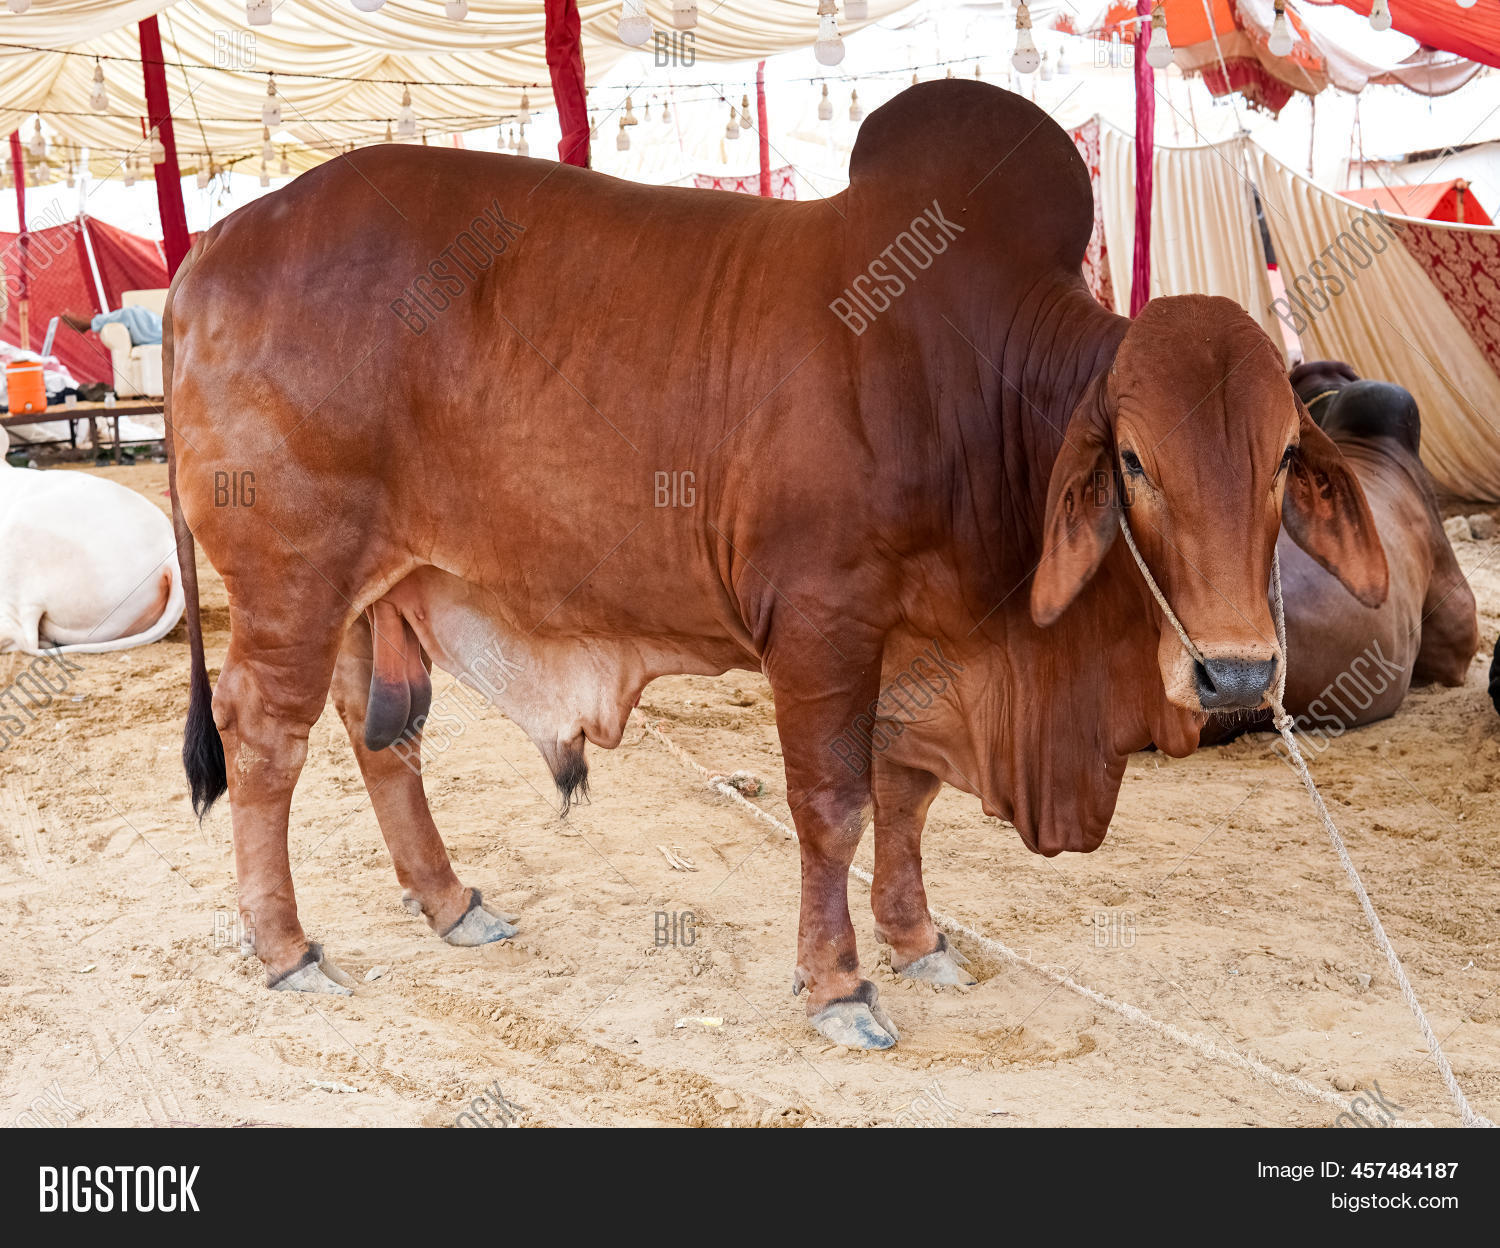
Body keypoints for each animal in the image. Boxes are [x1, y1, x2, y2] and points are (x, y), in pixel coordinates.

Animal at [167, 81, 1387, 1049]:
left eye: (1285, 456)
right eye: (1134, 460)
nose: (1237, 674)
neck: (975, 387)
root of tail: (210, 254)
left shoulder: (918, 637)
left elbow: (906, 795)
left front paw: (917, 937)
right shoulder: (822, 622)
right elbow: (835, 805)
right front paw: (839, 985)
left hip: (366, 591)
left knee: (378, 733)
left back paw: (449, 900)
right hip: (290, 576)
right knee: (264, 739)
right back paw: (286, 947)